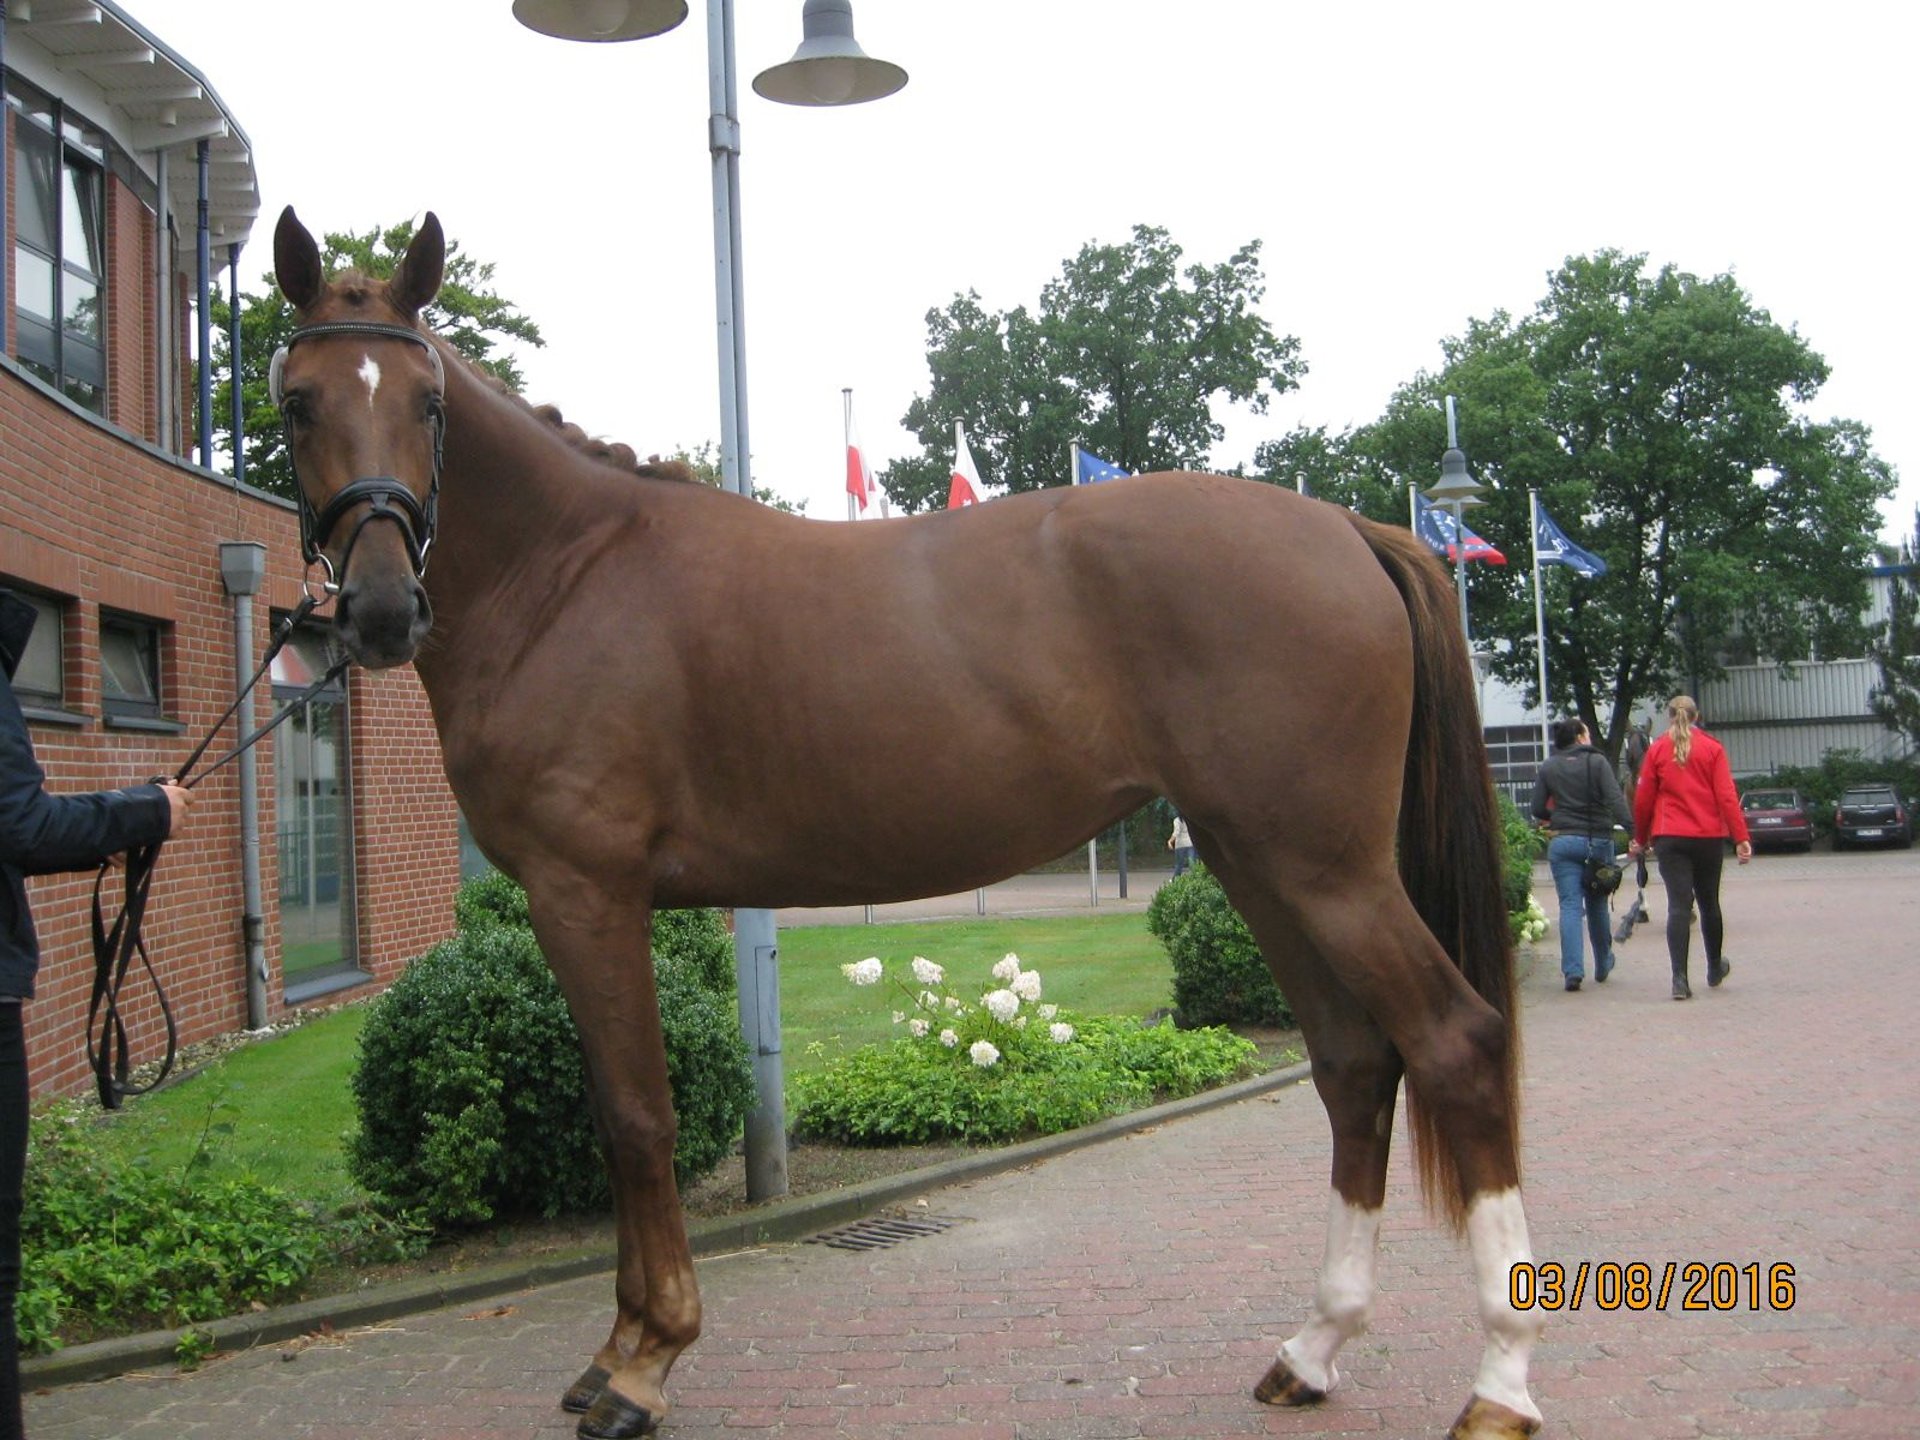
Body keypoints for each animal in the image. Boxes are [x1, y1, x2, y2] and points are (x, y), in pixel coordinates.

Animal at [269, 207, 1545, 1440]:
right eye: (298, 399)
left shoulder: (587, 892)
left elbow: (636, 1118)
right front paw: (617, 1349)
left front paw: (641, 1364)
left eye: (429, 402)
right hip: (1258, 862)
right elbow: (617, 1114)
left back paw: (1500, 1386)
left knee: (1457, 1042)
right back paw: (1313, 1349)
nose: (379, 608)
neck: (569, 575)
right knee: (1354, 1062)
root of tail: (1350, 531)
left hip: (1326, 867)